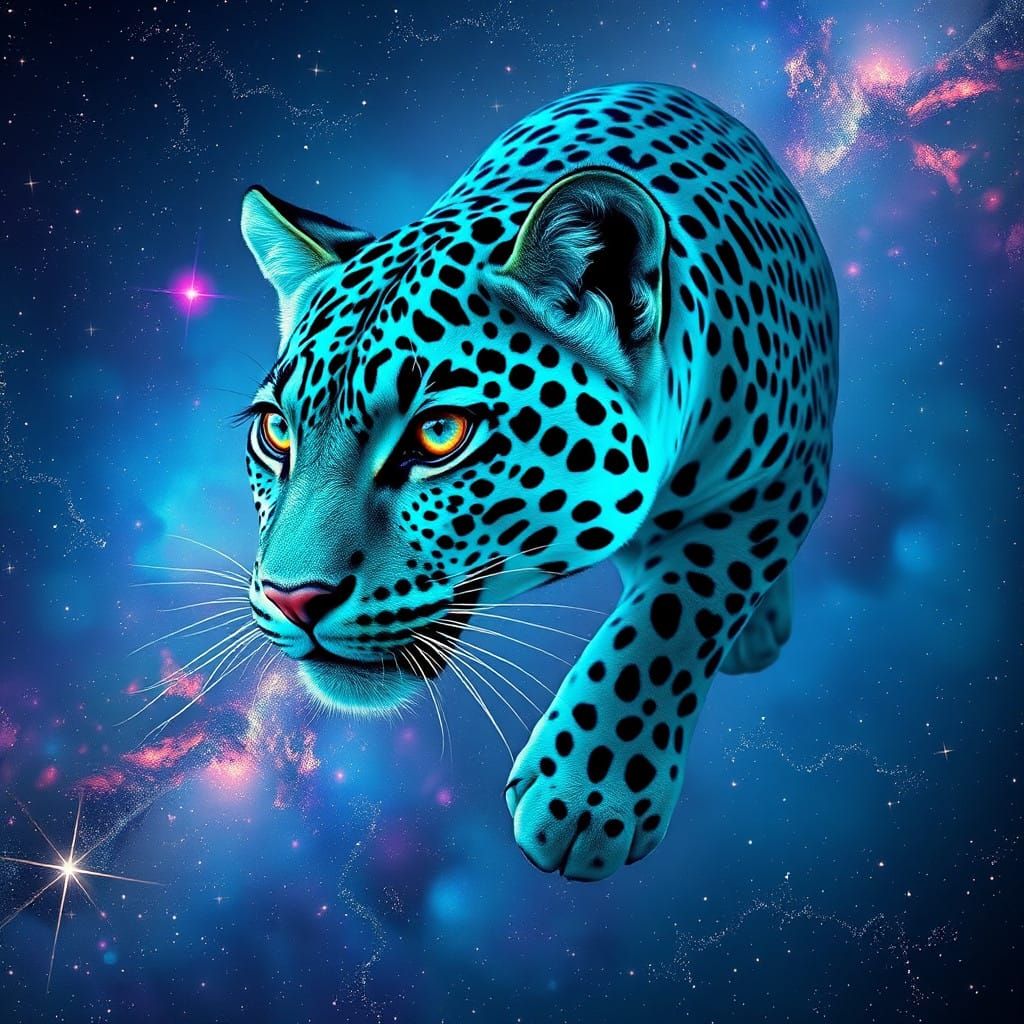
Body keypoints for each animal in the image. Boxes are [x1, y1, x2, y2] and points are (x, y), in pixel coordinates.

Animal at [238, 82, 838, 881]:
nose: (291, 598)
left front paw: (591, 789)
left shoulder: (780, 477)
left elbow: (675, 610)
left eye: (439, 434)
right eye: (277, 433)